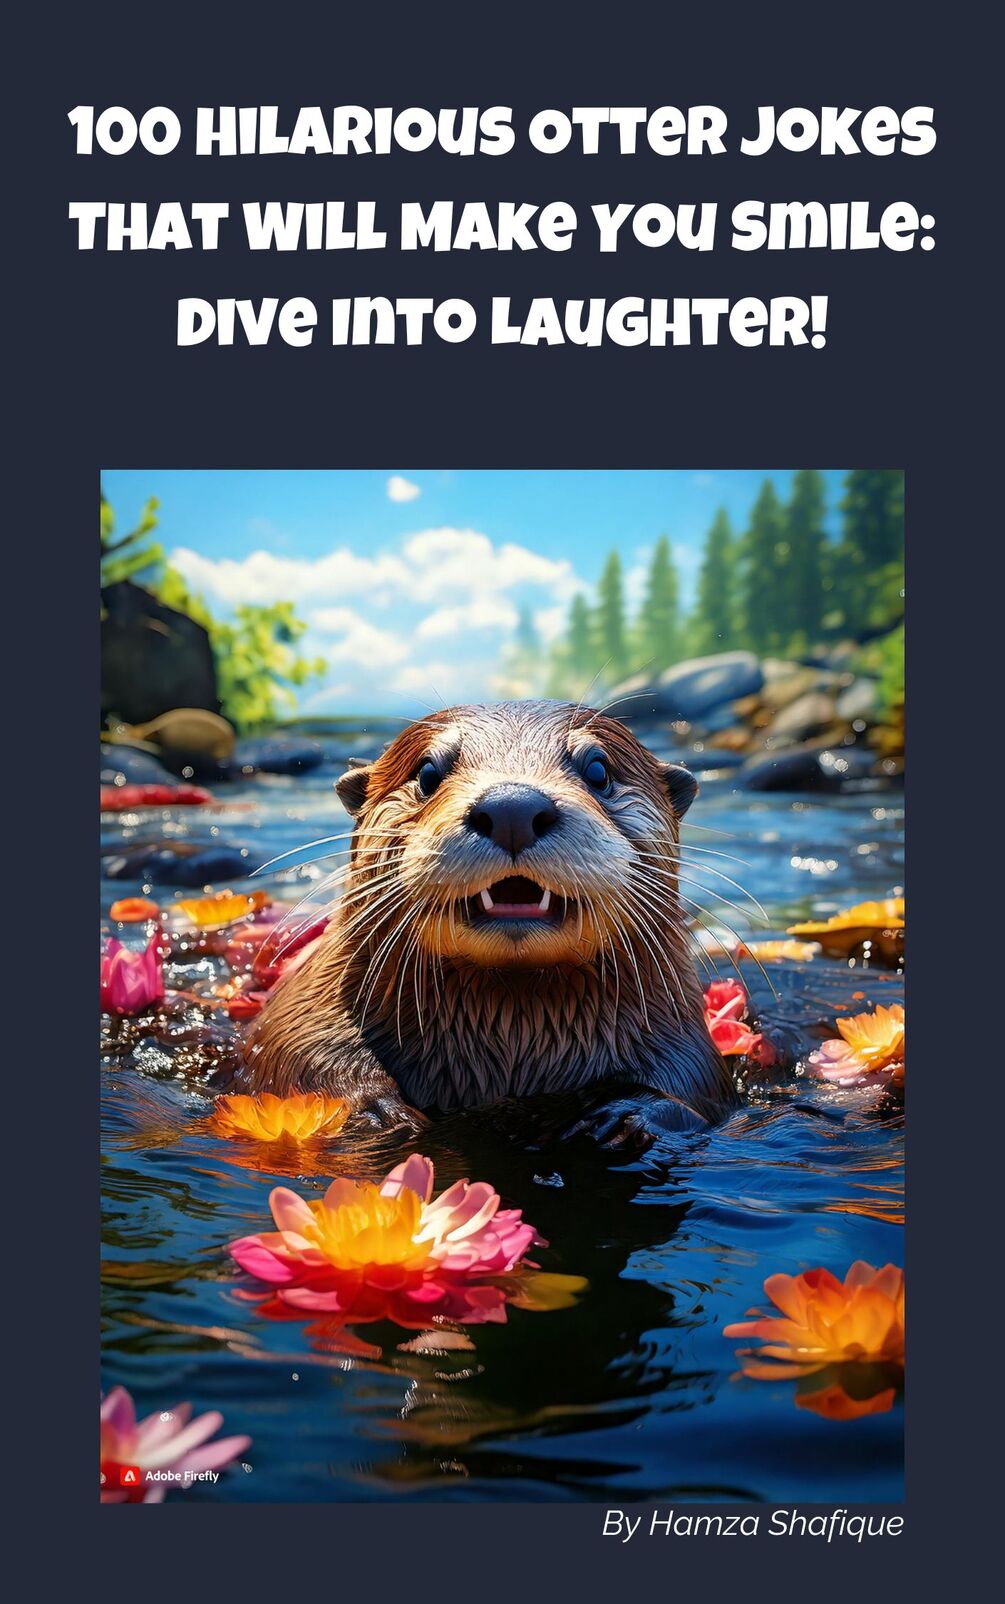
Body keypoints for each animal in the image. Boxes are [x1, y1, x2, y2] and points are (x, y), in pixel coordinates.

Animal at [244, 701, 737, 1135]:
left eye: (598, 770)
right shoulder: (298, 1025)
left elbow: (684, 1090)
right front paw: (376, 1109)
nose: (512, 807)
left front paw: (627, 1111)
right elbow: (308, 1064)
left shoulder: (688, 1048)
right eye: (427, 773)